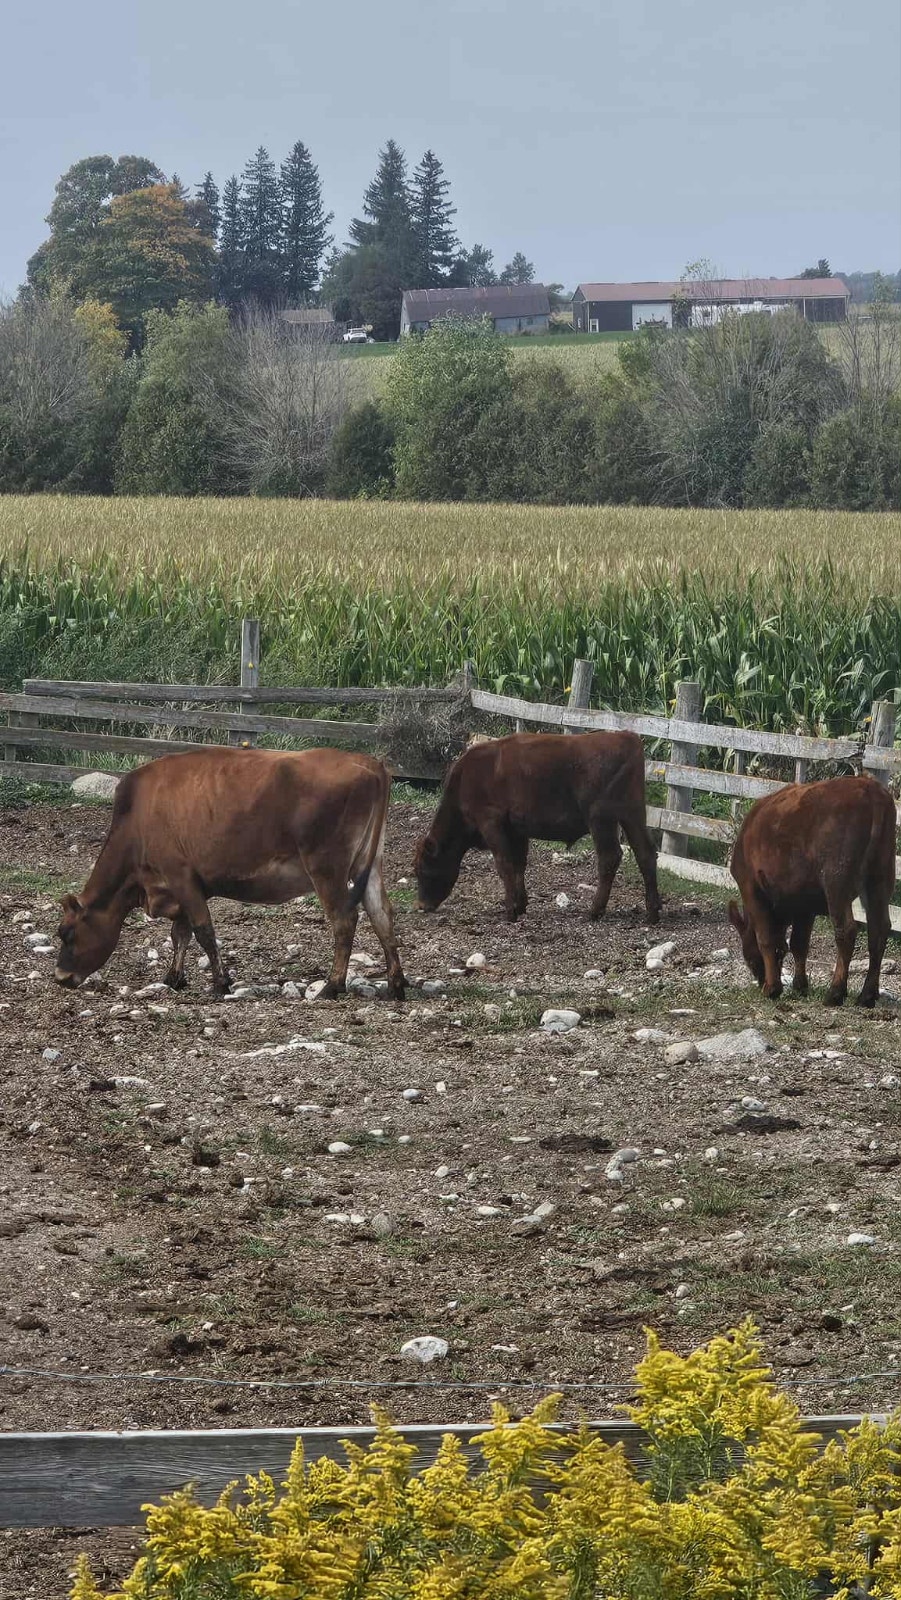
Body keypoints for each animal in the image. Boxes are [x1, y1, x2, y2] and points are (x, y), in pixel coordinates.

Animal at [54, 747, 405, 1000]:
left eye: (67, 933)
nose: (60, 978)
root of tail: (369, 762)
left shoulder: (181, 876)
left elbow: (203, 932)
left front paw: (220, 982)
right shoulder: (184, 887)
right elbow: (180, 933)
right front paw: (174, 977)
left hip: (326, 867)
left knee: (345, 919)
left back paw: (332, 985)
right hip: (369, 863)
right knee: (381, 914)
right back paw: (396, 983)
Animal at [414, 730, 662, 924]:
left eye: (422, 868)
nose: (421, 905)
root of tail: (625, 736)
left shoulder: (490, 822)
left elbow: (504, 864)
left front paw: (510, 911)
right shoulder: (516, 829)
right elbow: (518, 864)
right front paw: (520, 904)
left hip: (601, 819)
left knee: (609, 858)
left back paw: (594, 911)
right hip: (632, 816)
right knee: (645, 854)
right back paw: (652, 912)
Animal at [728, 774, 896, 1007]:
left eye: (750, 959)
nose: (760, 978)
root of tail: (871, 789)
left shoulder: (751, 888)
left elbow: (766, 939)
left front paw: (772, 988)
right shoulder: (804, 903)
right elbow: (798, 943)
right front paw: (800, 986)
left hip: (836, 880)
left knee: (846, 930)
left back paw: (835, 992)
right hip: (880, 877)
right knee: (878, 930)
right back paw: (867, 995)